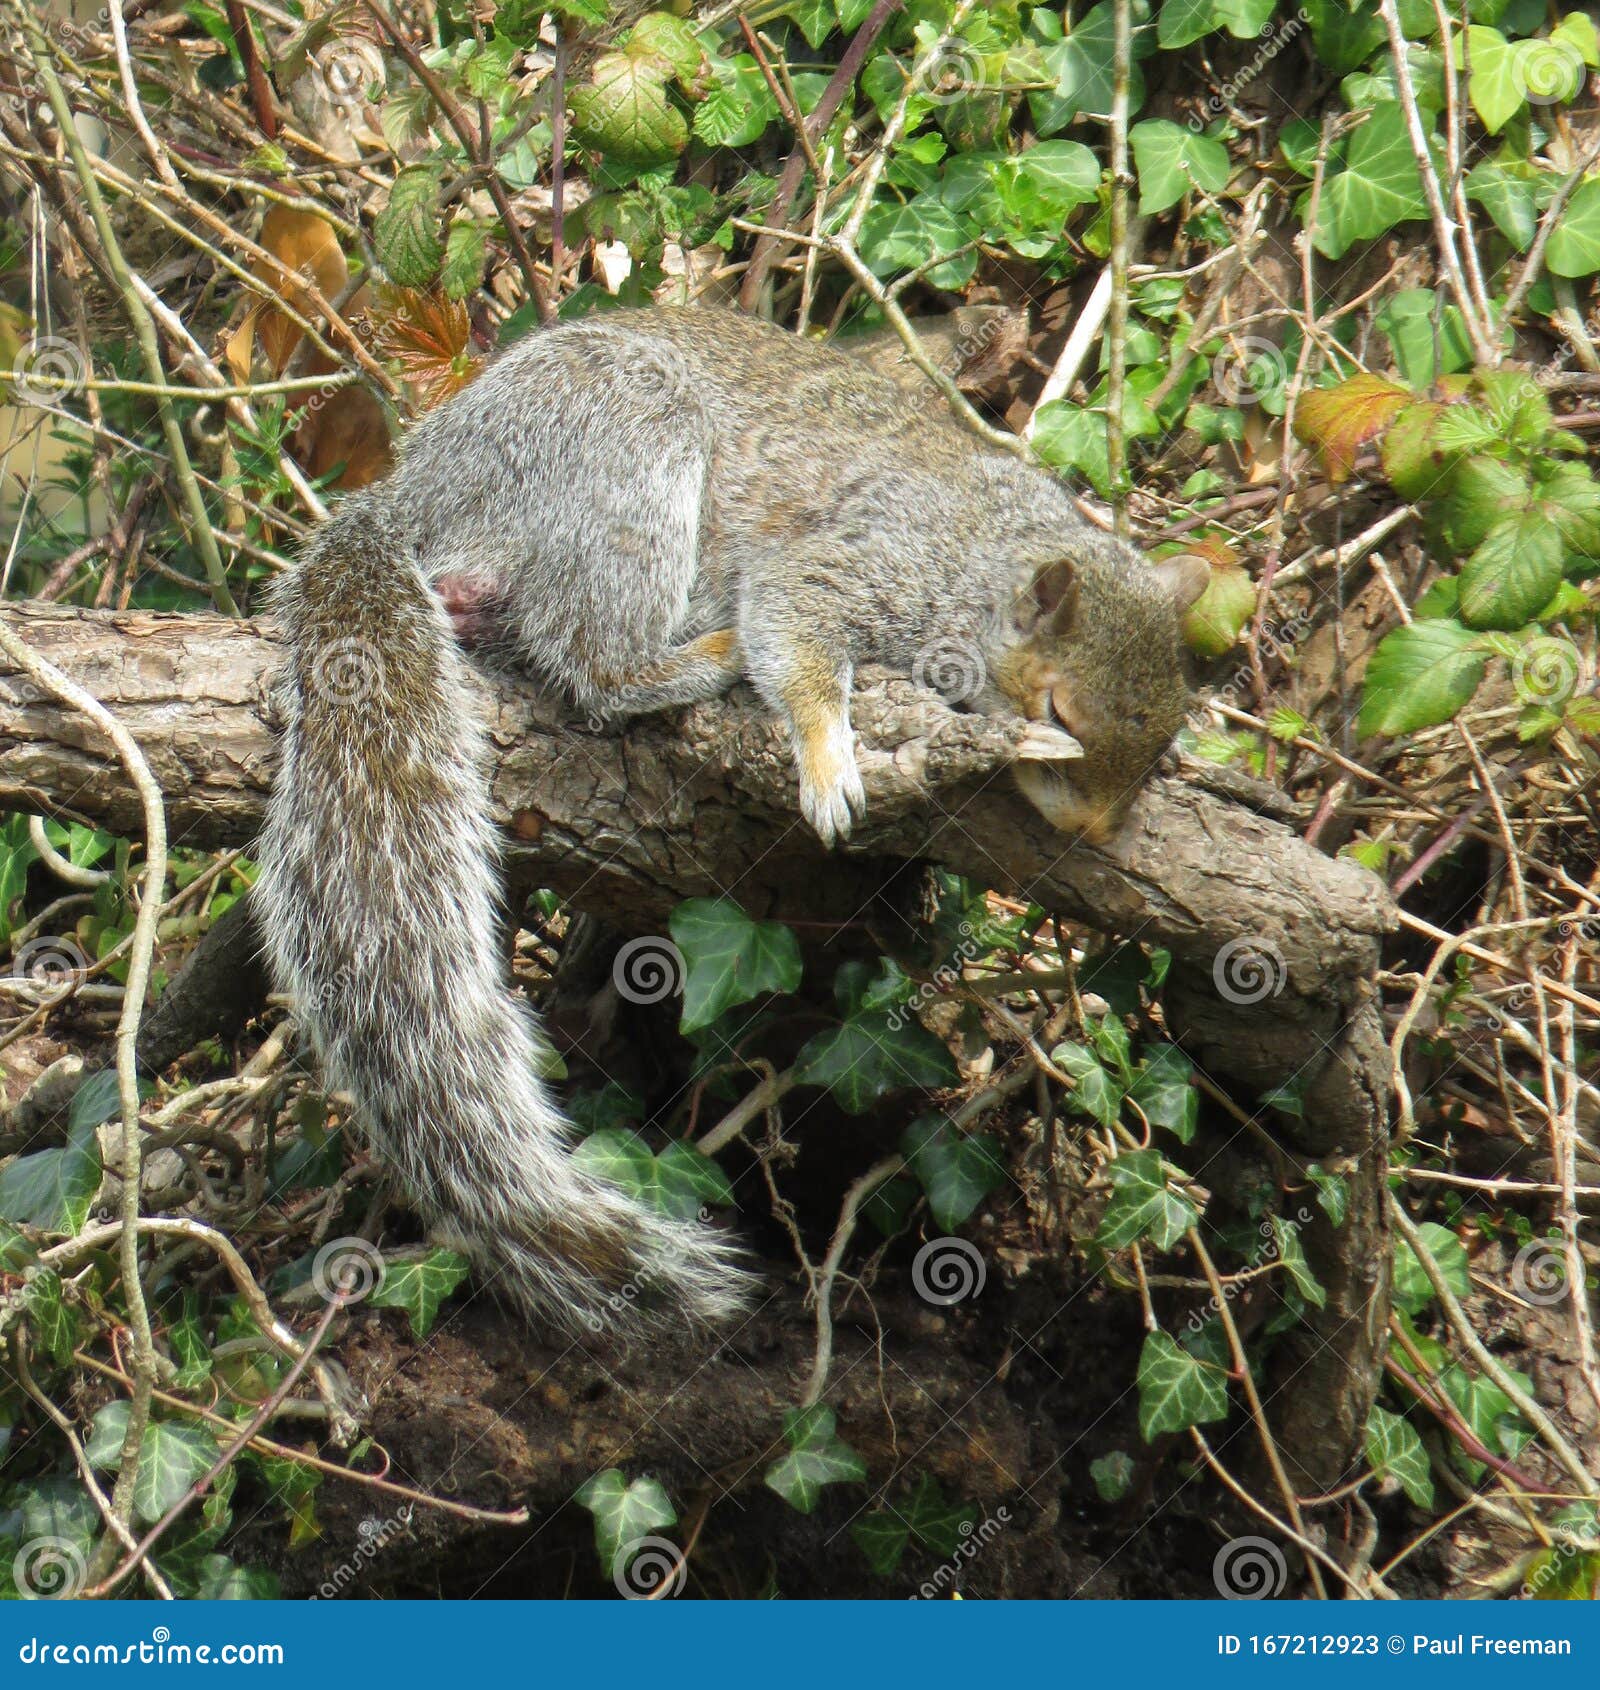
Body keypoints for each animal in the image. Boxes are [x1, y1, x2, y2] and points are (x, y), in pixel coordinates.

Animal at [256, 305, 1208, 1336]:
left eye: (1167, 730)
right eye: (1062, 714)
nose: (1098, 831)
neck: (988, 560)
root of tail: (417, 495)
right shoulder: (856, 562)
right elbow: (795, 629)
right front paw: (829, 759)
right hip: (622, 446)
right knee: (596, 660)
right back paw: (701, 656)